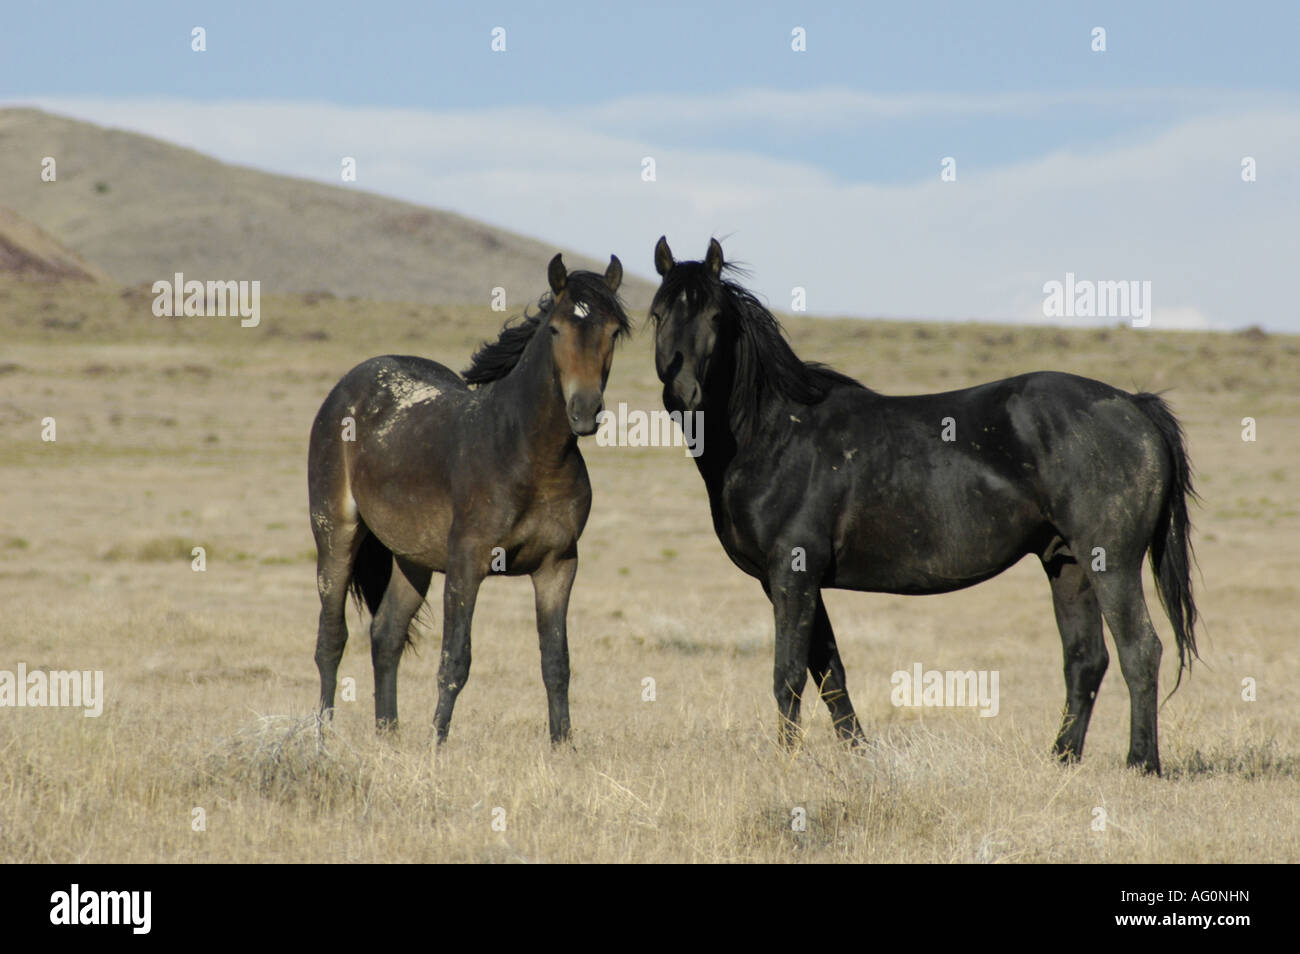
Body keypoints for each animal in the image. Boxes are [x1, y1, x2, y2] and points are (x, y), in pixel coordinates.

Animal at [308, 253, 630, 744]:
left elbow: (556, 663)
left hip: (413, 559)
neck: (524, 453)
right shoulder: (467, 563)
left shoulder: (558, 567)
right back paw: (321, 737)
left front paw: (563, 747)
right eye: (556, 330)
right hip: (335, 535)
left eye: (612, 331)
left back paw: (388, 737)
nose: (585, 412)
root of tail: (347, 388)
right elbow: (455, 660)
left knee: (386, 635)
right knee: (331, 639)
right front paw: (437, 744)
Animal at [648, 237, 1198, 774]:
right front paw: (858, 756)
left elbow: (789, 674)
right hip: (1067, 564)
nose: (682, 396)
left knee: (1140, 650)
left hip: (1112, 563)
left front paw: (787, 763)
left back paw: (1141, 763)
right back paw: (1061, 759)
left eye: (715, 317)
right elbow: (830, 672)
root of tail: (1133, 404)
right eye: (657, 315)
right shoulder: (794, 581)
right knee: (1086, 659)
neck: (776, 432)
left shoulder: (792, 574)